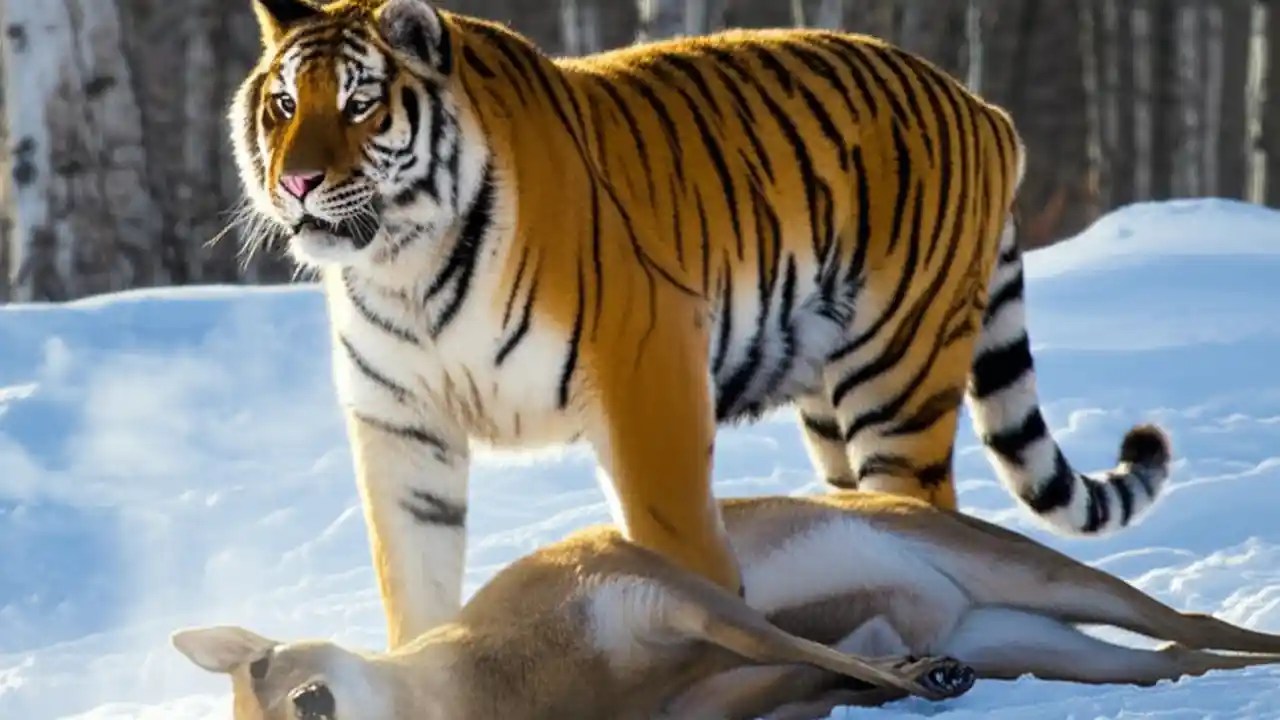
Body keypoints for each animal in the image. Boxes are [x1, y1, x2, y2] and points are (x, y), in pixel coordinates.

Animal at [231, 0, 1172, 649]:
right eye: (282, 106)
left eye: (360, 103)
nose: (298, 183)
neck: (405, 271)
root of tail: (981, 106)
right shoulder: (404, 428)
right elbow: (415, 585)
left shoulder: (646, 375)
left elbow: (679, 545)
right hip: (829, 405)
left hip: (897, 377)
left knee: (925, 508)